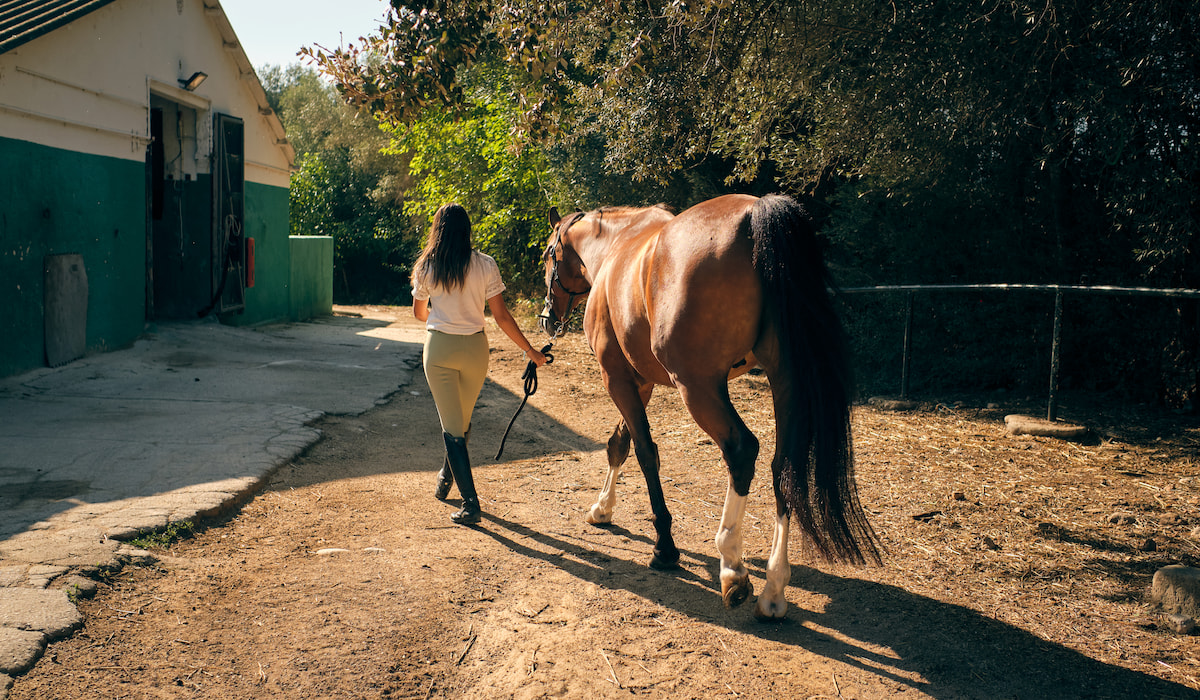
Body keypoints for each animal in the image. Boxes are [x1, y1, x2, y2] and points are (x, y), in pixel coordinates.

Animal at [538, 193, 880, 620]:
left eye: (548, 255)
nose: (547, 317)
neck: (617, 246)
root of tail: (756, 212)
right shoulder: (640, 381)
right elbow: (620, 443)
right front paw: (603, 507)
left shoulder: (616, 377)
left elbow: (645, 452)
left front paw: (664, 547)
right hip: (783, 378)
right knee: (782, 467)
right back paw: (773, 588)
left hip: (699, 388)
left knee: (742, 450)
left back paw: (732, 565)